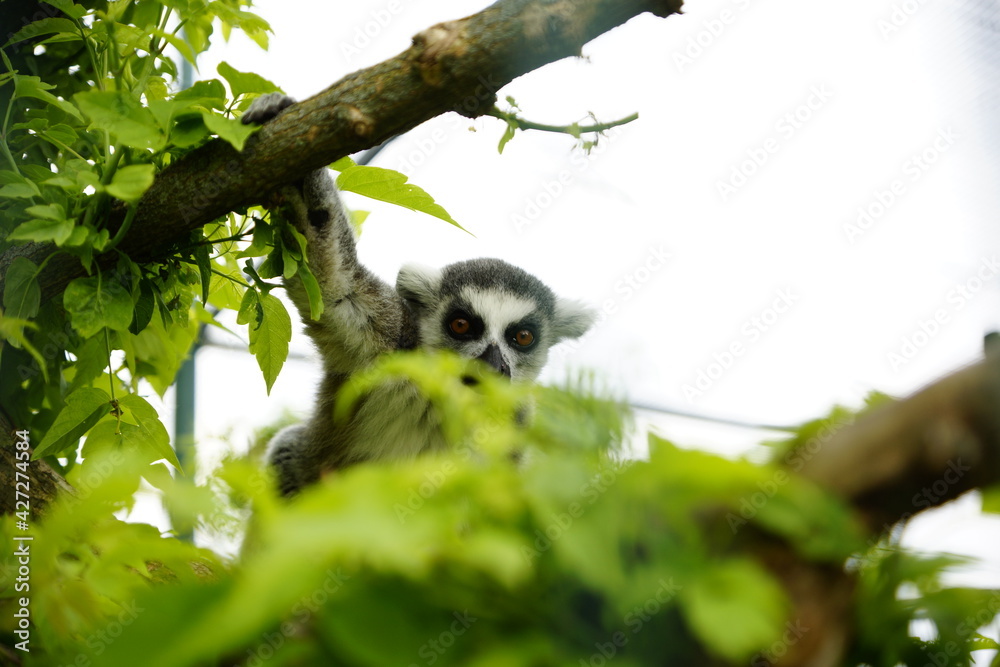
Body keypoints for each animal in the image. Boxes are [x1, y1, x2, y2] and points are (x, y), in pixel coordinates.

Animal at [241, 93, 595, 496]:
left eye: (522, 337)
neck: (449, 400)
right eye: (461, 325)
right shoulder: (384, 345)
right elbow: (333, 284)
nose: (493, 366)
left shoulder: (512, 425)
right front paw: (277, 117)